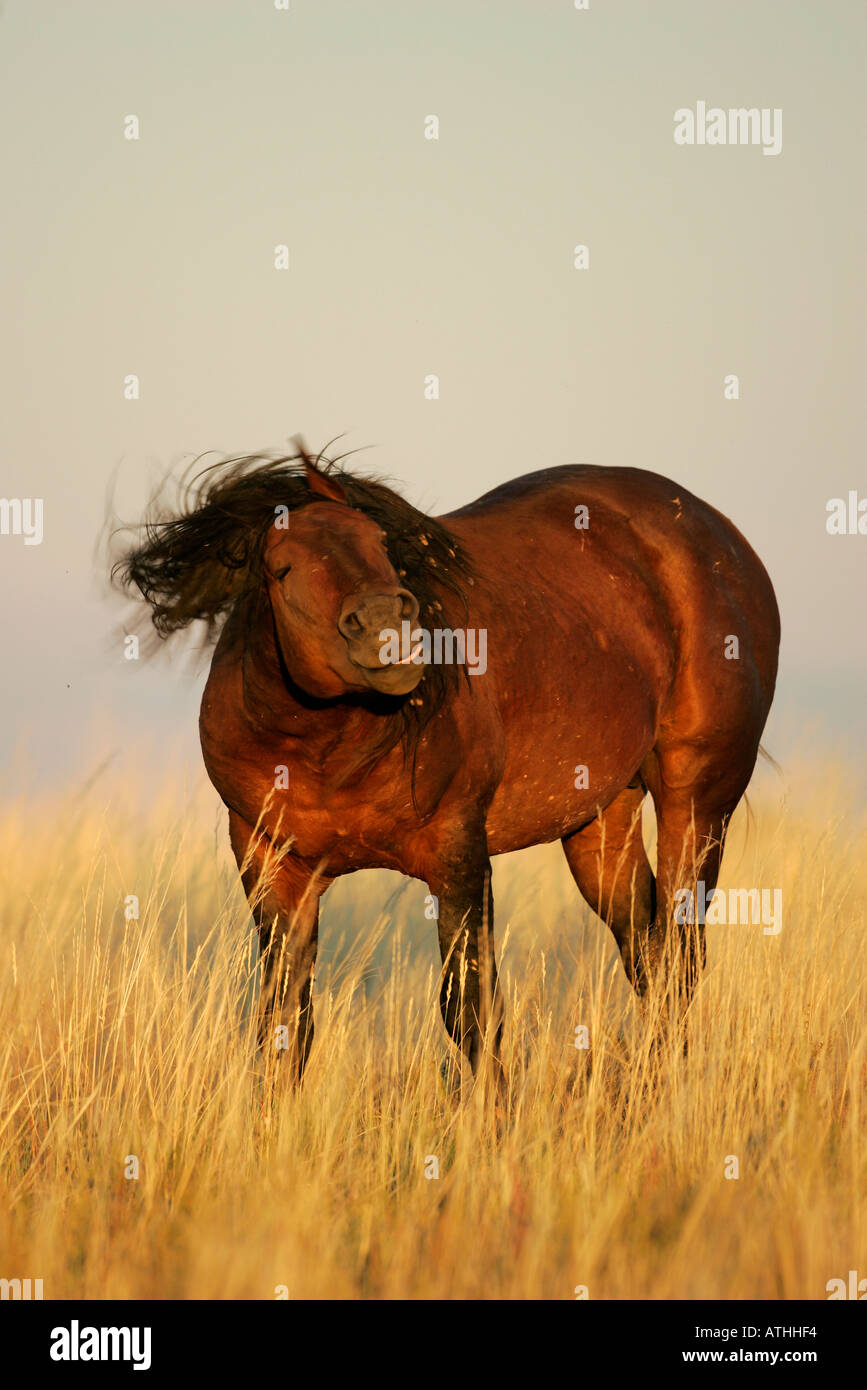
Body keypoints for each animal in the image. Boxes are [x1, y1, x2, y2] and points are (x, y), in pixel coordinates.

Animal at [115, 443, 780, 1083]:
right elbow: (284, 1020)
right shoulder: (271, 864)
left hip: (696, 802)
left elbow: (471, 1010)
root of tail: (715, 533)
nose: (388, 628)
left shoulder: (458, 854)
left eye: (380, 543)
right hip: (599, 820)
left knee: (681, 956)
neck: (324, 754)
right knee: (647, 951)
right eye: (281, 571)